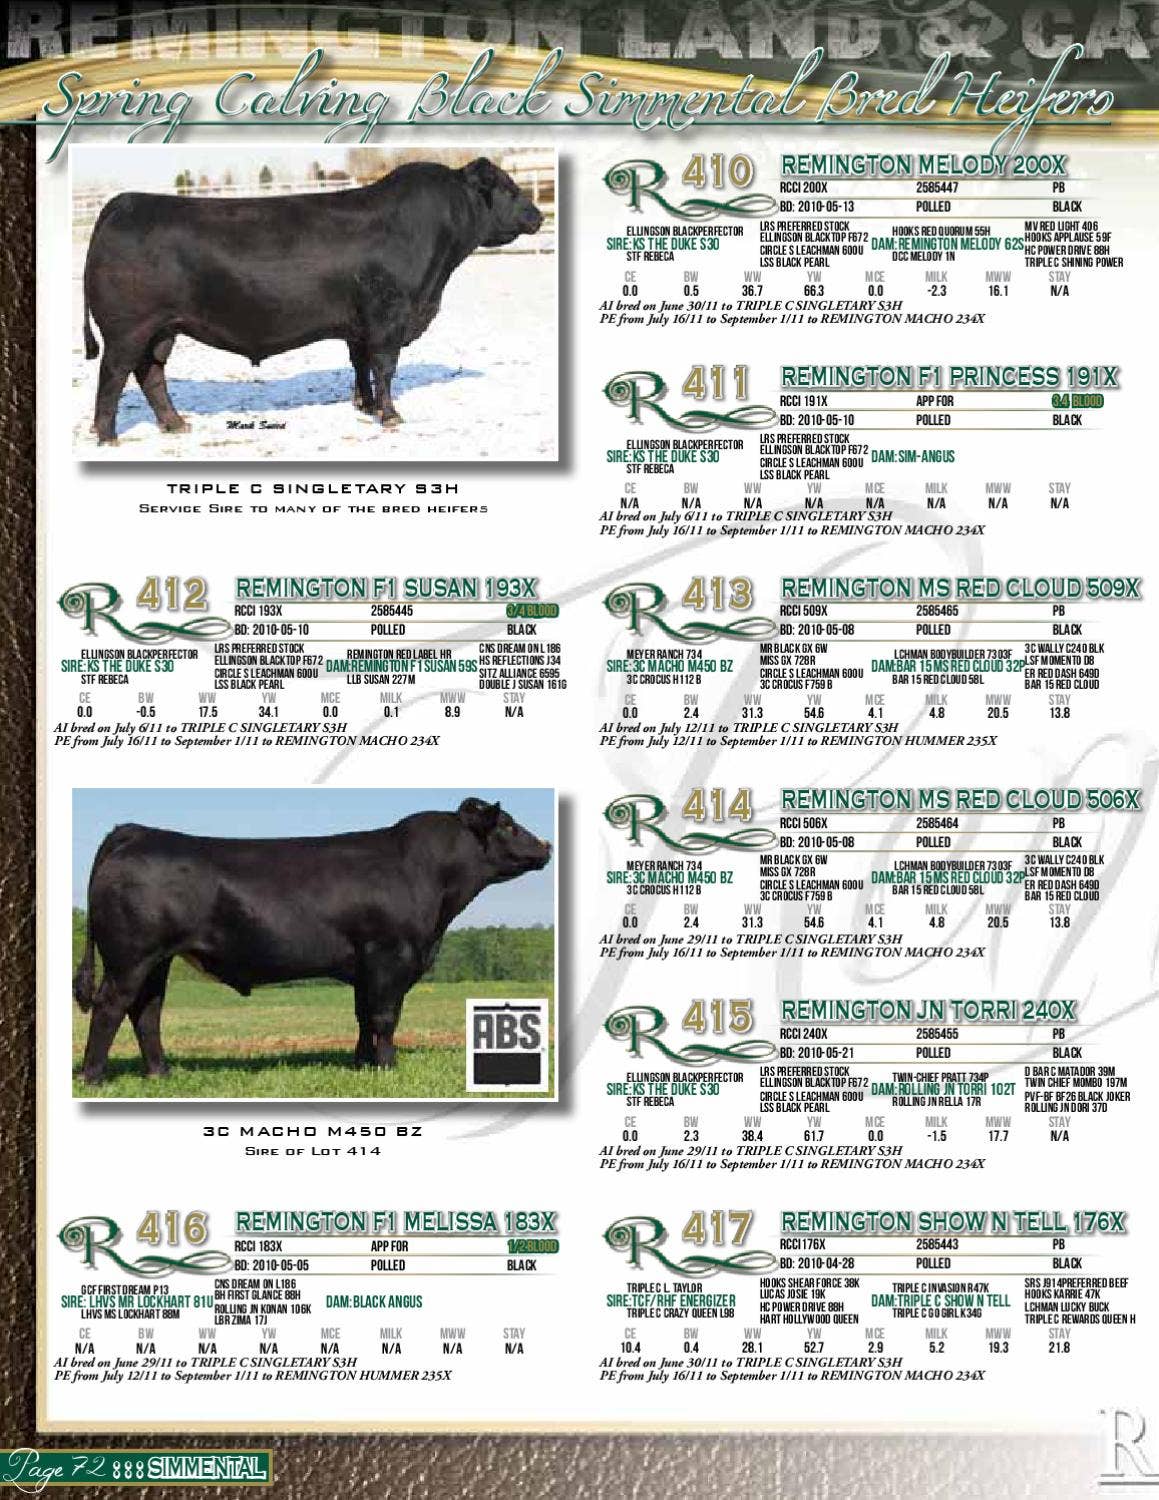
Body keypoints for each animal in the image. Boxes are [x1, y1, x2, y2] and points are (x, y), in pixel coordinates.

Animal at [72, 798, 552, 1084]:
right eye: (509, 824)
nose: (547, 845)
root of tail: (137, 830)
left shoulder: (366, 965)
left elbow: (363, 1016)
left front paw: (362, 1066)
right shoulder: (389, 956)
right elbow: (384, 1017)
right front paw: (388, 1069)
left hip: (158, 959)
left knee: (146, 1011)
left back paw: (161, 1074)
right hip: (131, 957)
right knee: (111, 1006)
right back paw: (93, 1077)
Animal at [81, 157, 544, 444]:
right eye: (508, 188)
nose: (539, 215)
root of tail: (123, 202)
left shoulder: (360, 324)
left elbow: (361, 365)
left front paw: (365, 405)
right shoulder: (388, 319)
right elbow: (385, 366)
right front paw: (390, 416)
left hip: (162, 329)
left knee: (151, 375)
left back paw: (175, 425)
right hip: (127, 330)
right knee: (113, 376)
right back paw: (107, 437)